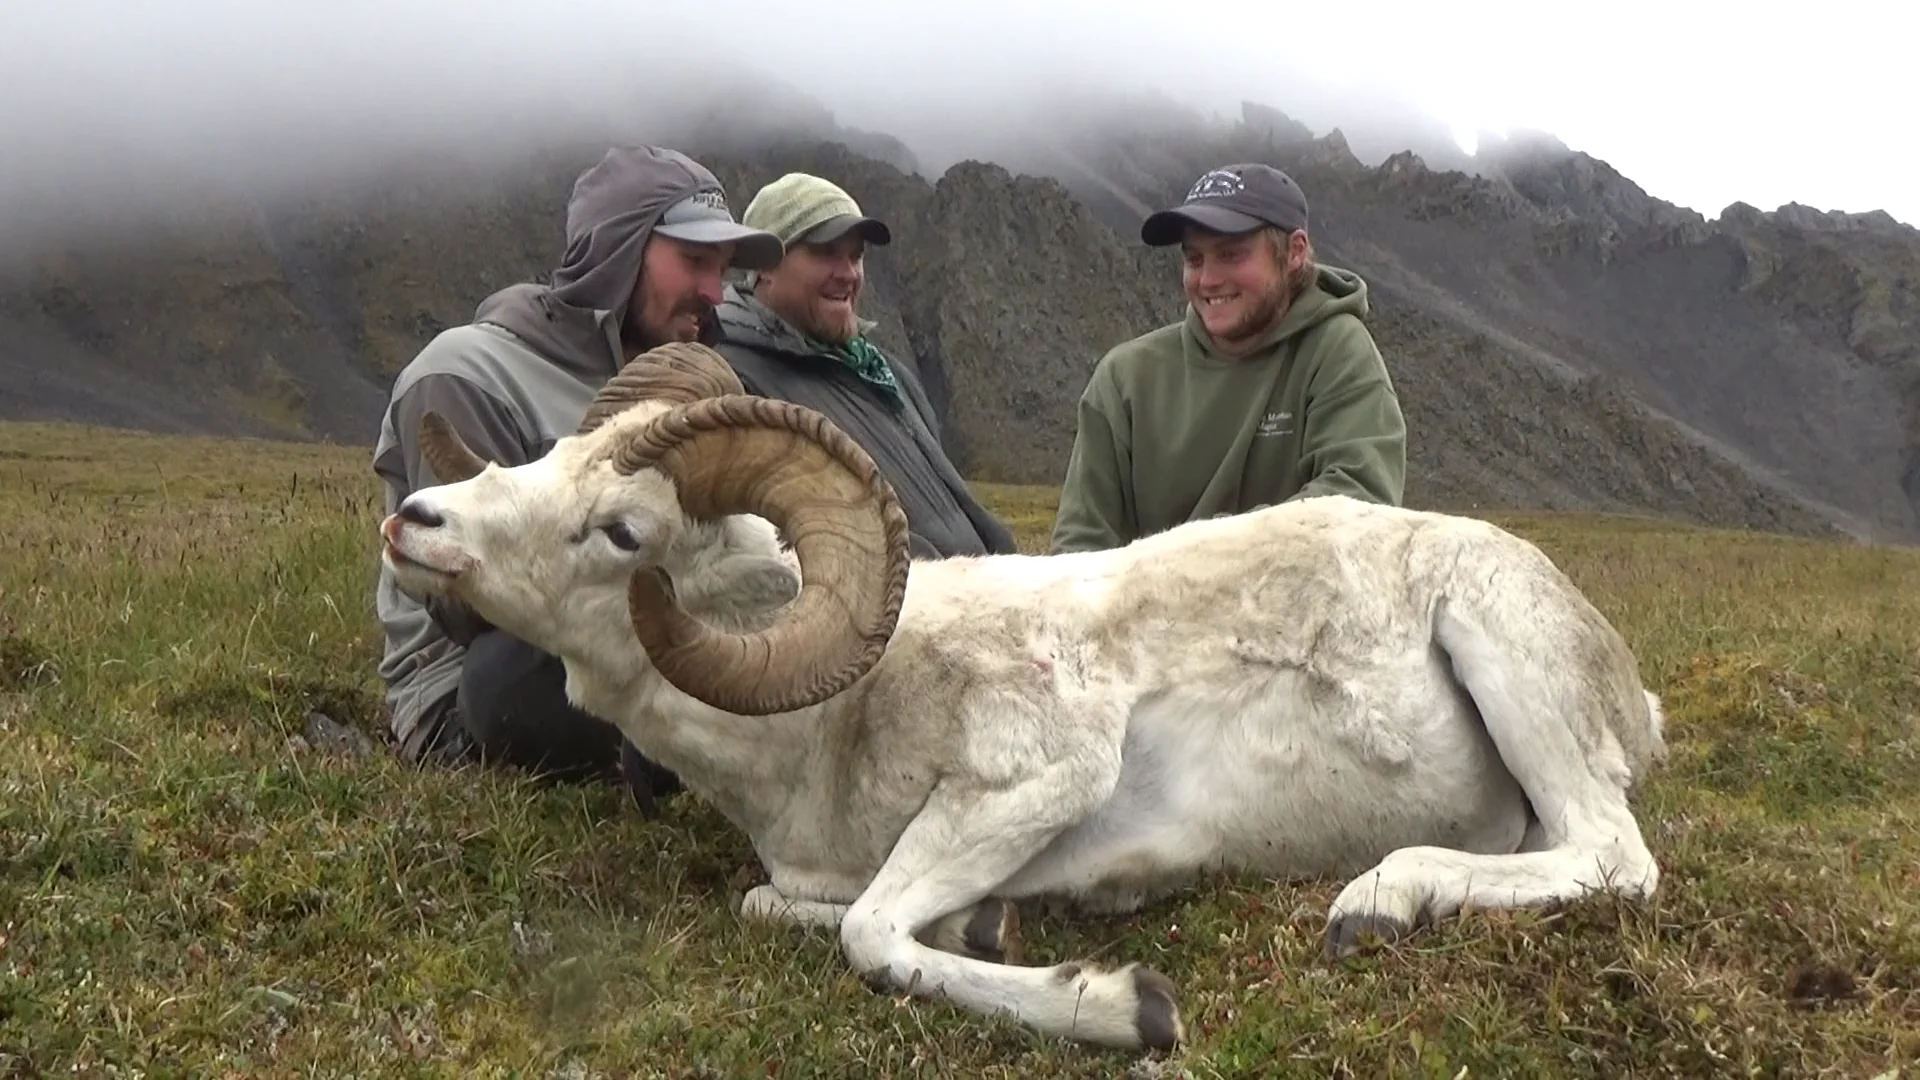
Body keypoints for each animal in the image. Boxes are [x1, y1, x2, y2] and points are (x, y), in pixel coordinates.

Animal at [379, 341, 1669, 1053]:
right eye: (548, 455)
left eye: (621, 529)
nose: (415, 521)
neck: (828, 734)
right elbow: (780, 908)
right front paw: (990, 926)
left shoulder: (1037, 783)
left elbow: (870, 933)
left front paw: (1128, 1008)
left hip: (1503, 658)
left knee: (1613, 858)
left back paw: (1379, 902)